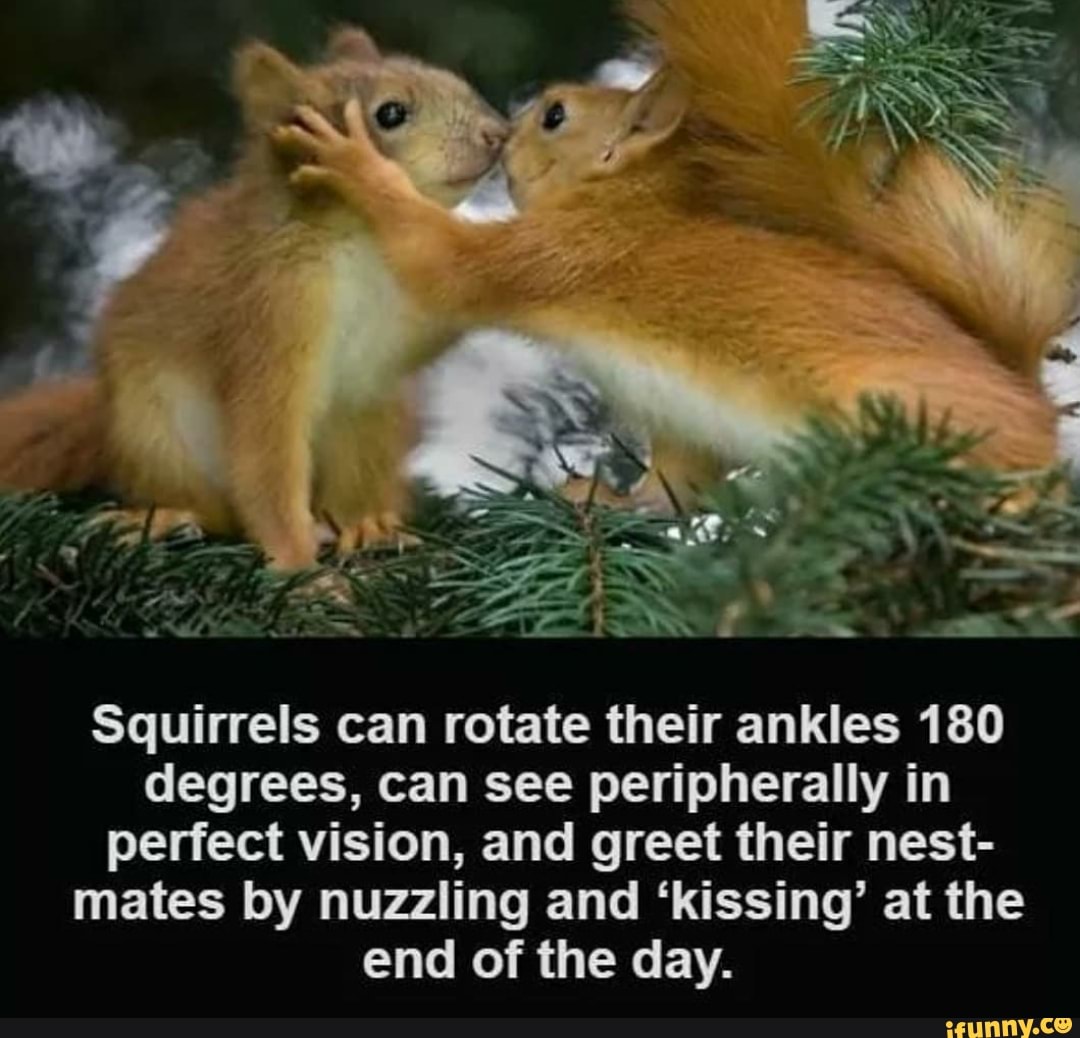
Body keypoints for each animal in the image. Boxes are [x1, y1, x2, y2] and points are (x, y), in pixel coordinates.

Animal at [0, 25, 507, 572]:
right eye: (390, 113)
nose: (498, 134)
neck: (362, 242)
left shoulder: (390, 344)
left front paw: (360, 528)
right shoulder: (270, 315)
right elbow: (267, 452)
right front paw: (301, 569)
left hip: (384, 416)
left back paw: (369, 522)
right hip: (154, 430)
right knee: (216, 510)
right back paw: (165, 520)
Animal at [268, 0, 1079, 515]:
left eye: (555, 116)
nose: (500, 134)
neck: (627, 202)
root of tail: (1026, 395)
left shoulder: (558, 252)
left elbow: (440, 259)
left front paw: (353, 163)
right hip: (687, 426)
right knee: (677, 491)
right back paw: (607, 498)